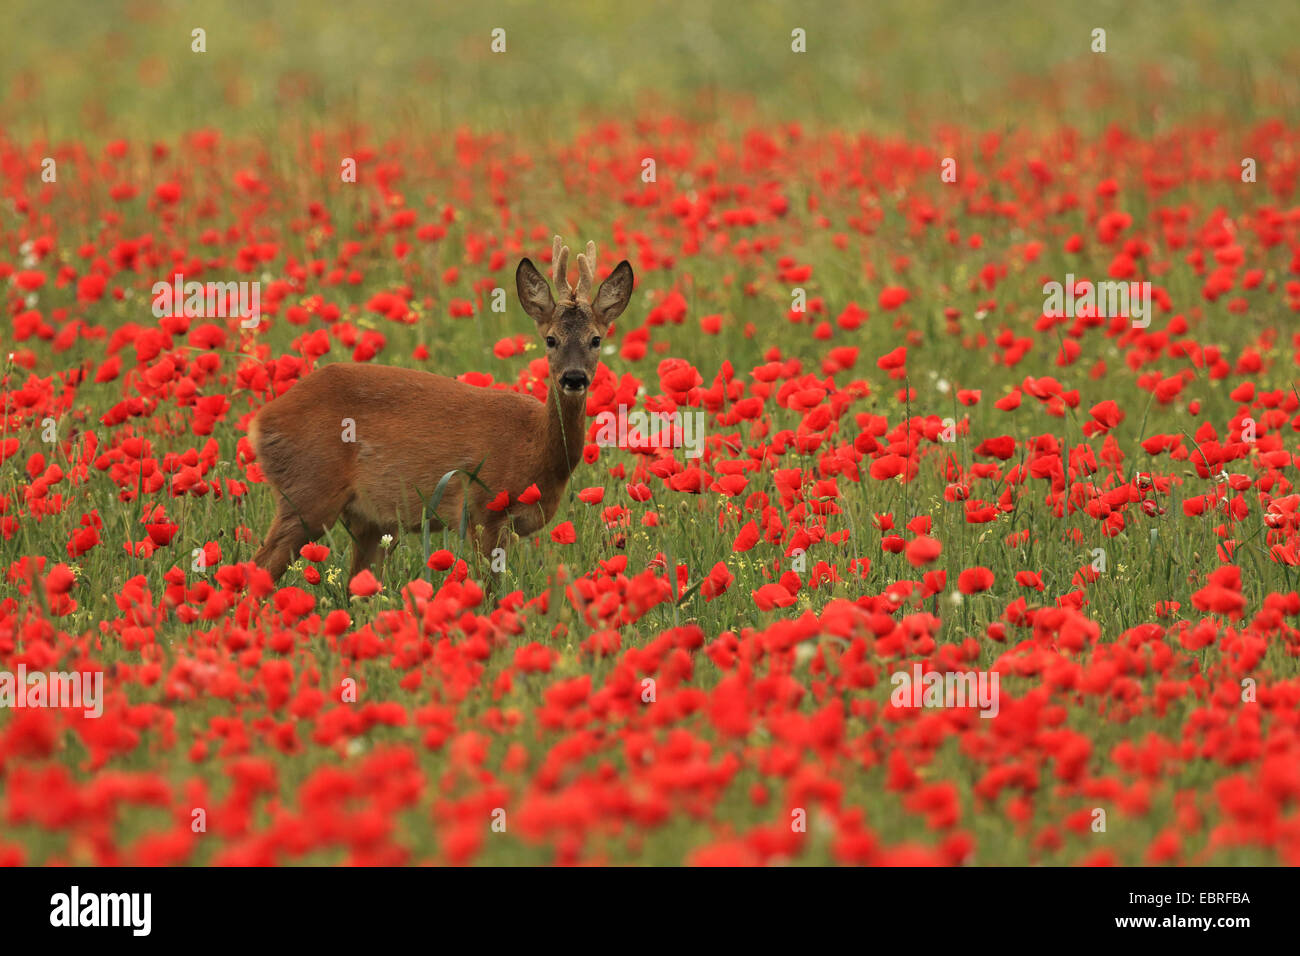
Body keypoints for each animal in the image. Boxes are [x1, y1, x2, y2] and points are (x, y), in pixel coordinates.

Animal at [247, 237, 634, 583]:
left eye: (596, 339)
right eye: (551, 339)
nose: (574, 377)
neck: (534, 446)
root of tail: (260, 421)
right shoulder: (482, 509)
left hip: (369, 521)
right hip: (307, 492)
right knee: (259, 566)